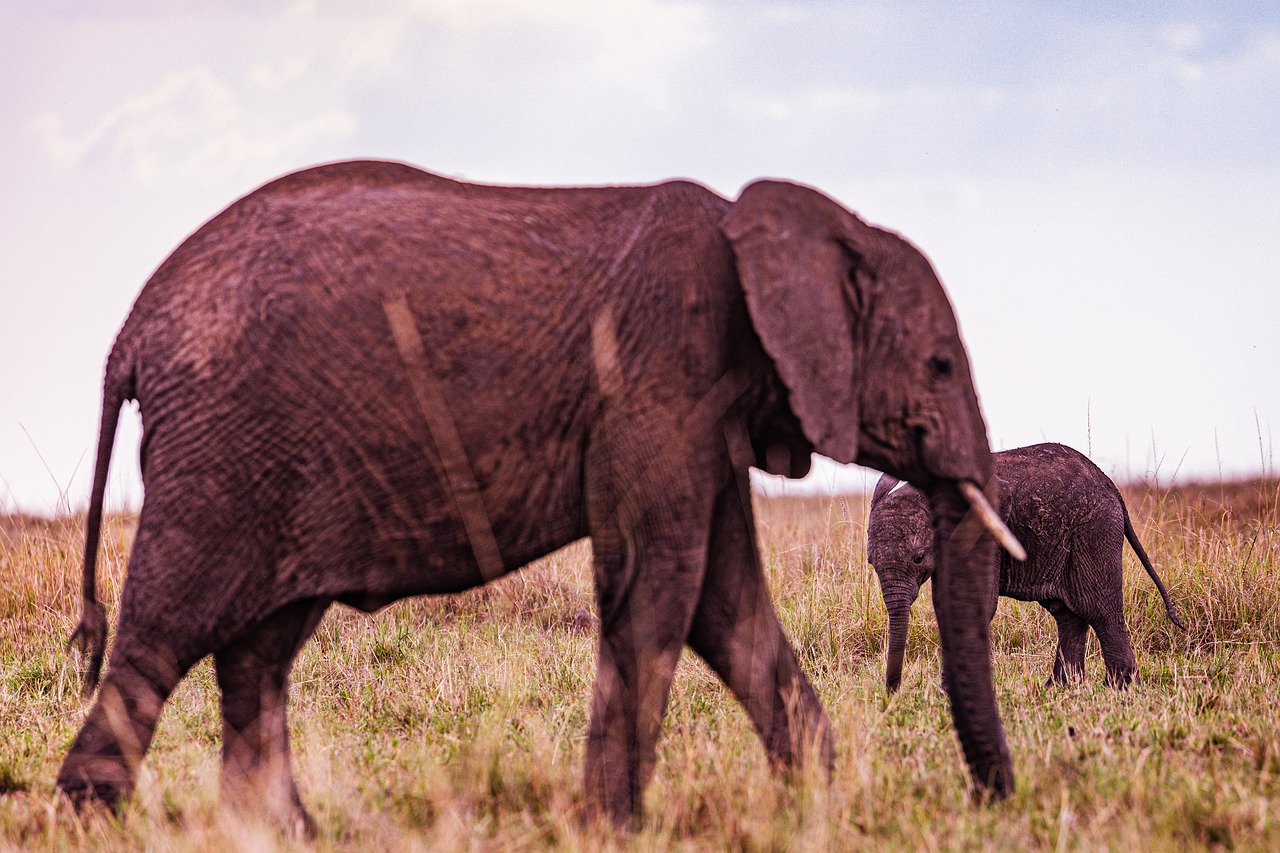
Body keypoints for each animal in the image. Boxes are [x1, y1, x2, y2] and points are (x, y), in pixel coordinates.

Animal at [58, 160, 1024, 832]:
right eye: (941, 363)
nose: (992, 797)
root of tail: (129, 332)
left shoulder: (702, 412)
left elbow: (730, 607)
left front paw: (825, 806)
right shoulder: (658, 380)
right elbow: (662, 586)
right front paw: (612, 829)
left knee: (257, 657)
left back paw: (289, 833)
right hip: (223, 453)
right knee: (159, 637)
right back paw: (91, 819)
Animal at [867, 442, 1184, 693]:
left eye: (918, 558)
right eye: (871, 562)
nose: (892, 691)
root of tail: (1111, 486)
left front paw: (948, 694)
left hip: (1094, 530)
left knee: (1099, 609)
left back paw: (1119, 689)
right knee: (1067, 613)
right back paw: (1059, 688)